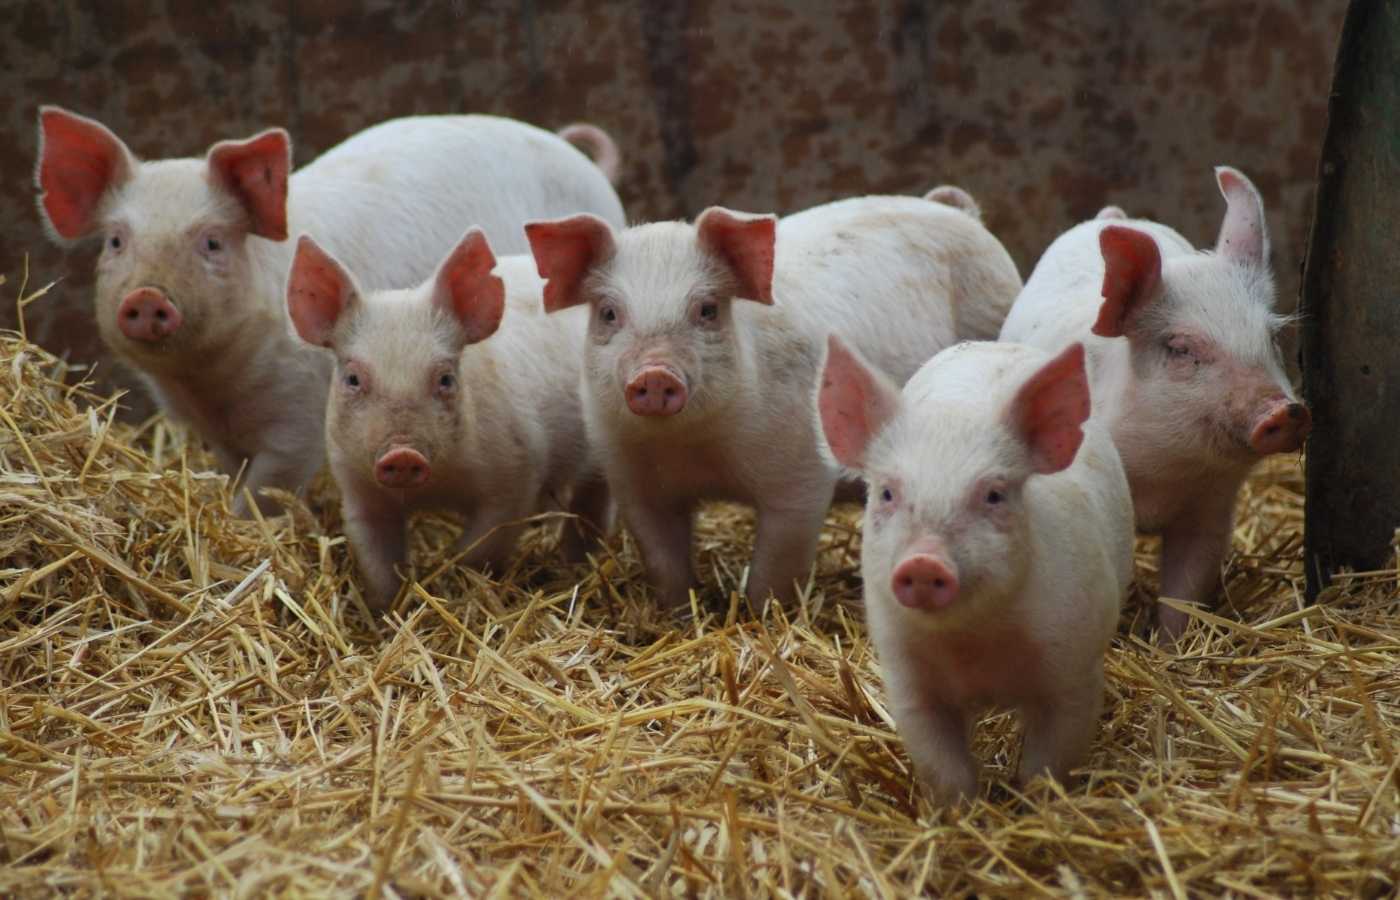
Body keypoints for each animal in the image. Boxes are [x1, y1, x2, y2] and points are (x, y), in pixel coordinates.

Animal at [34, 107, 626, 515]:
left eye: (212, 242)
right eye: (116, 241)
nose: (146, 298)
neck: (210, 385)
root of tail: (581, 157)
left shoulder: (298, 415)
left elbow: (265, 492)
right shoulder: (218, 436)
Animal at [286, 229, 608, 611]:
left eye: (445, 379)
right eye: (352, 379)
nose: (403, 454)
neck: (435, 490)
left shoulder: (518, 473)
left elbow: (477, 548)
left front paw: (452, 581)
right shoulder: (357, 489)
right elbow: (378, 565)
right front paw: (388, 610)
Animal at [525, 193, 1023, 610]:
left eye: (707, 309)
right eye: (609, 313)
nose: (655, 374)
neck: (696, 450)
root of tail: (956, 209)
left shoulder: (802, 475)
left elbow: (776, 565)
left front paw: (758, 616)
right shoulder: (634, 480)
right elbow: (665, 562)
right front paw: (676, 614)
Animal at [817, 337, 1133, 804]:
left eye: (994, 495)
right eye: (887, 493)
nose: (924, 561)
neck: (972, 646)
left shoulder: (1075, 672)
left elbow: (1047, 766)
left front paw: (1036, 806)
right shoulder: (909, 682)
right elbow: (945, 771)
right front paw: (963, 811)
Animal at [999, 167, 1309, 640]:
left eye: (1272, 338)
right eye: (1181, 348)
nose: (1284, 411)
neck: (1166, 472)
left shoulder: (1211, 508)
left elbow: (1185, 589)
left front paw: (1170, 645)